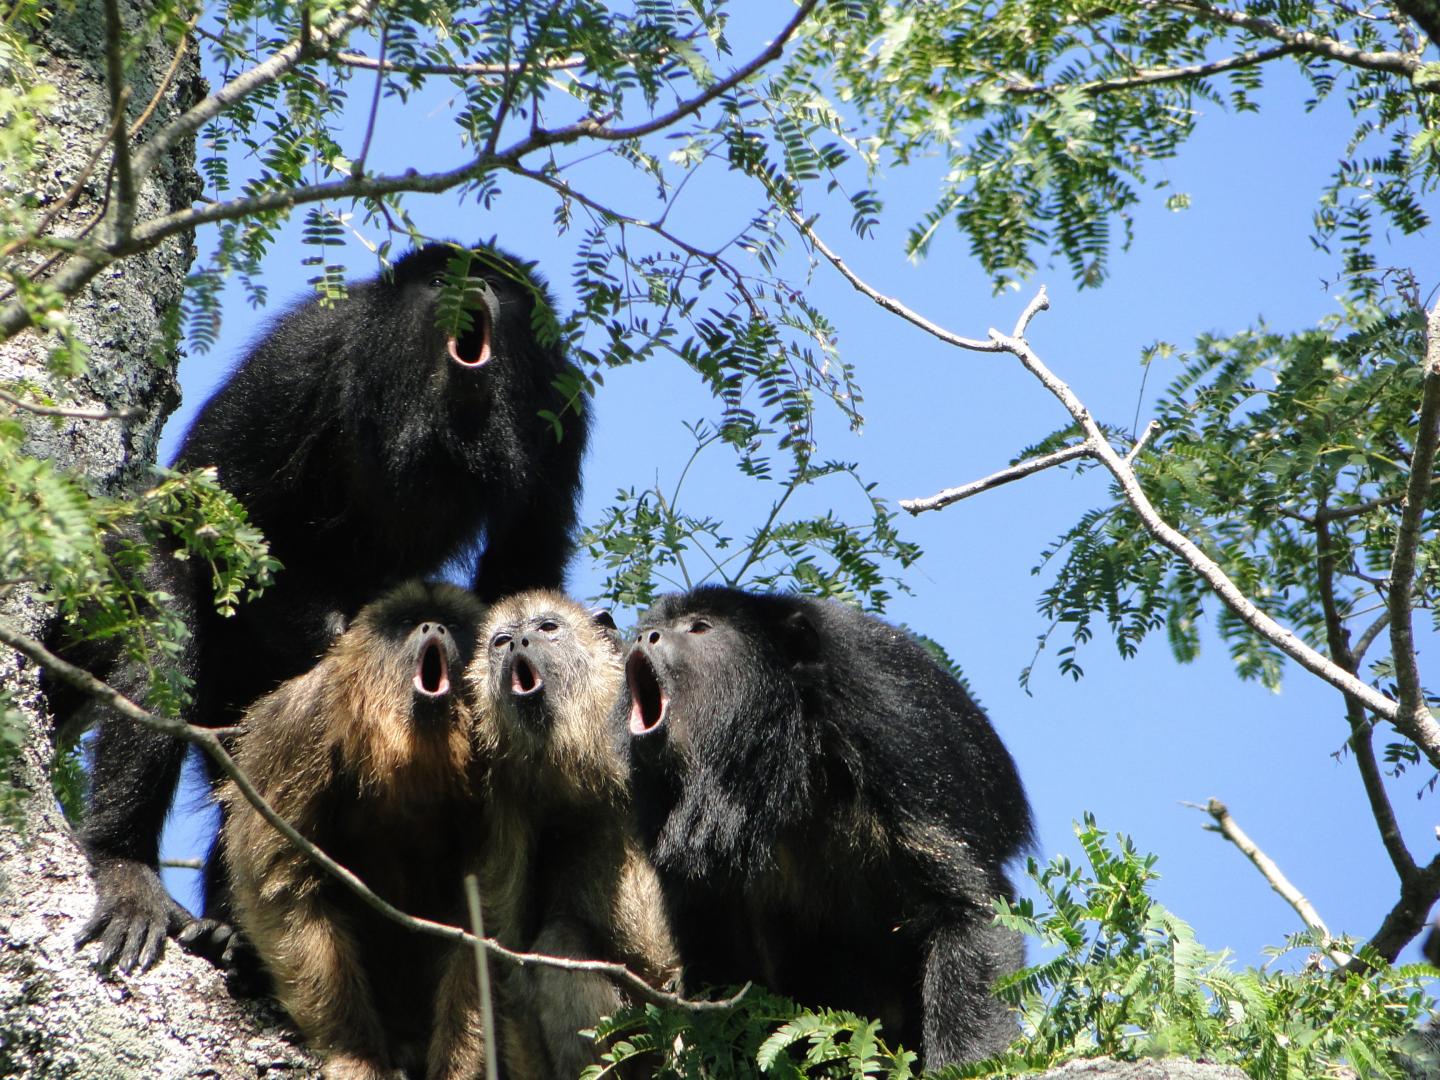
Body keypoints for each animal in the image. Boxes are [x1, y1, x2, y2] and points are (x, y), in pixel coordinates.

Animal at [61, 240, 589, 971]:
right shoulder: (307, 350)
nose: (473, 287)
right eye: (441, 279)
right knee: (169, 638)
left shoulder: (562, 410)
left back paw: (233, 930)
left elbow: (524, 565)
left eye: (497, 284)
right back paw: (124, 865)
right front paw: (342, 641)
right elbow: (223, 509)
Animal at [218, 580, 488, 1080]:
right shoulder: (301, 724)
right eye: (408, 622)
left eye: (453, 623)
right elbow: (284, 887)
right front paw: (356, 1055)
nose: (434, 626)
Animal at [469, 590, 678, 1080]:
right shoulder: (503, 795)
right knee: (562, 940)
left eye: (547, 628)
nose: (517, 643)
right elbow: (505, 953)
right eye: (500, 641)